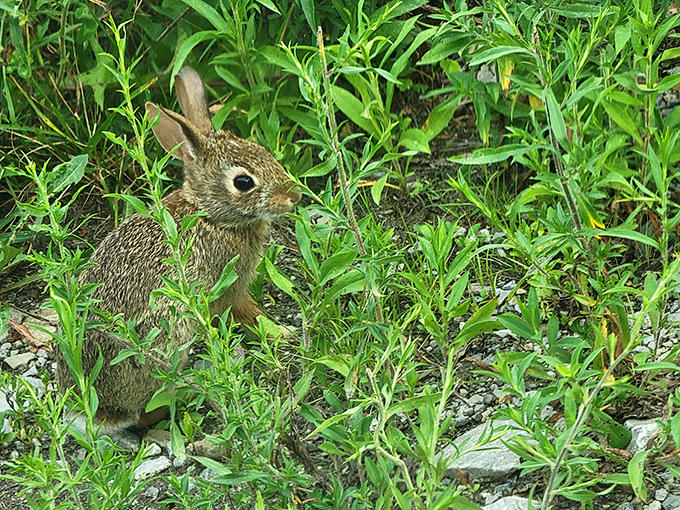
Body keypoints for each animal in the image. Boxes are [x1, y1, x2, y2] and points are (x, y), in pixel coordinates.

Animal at [56, 67, 301, 434]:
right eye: (243, 182)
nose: (293, 196)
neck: (210, 215)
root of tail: (100, 412)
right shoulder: (229, 288)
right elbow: (249, 314)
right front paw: (283, 334)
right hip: (169, 339)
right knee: (147, 411)